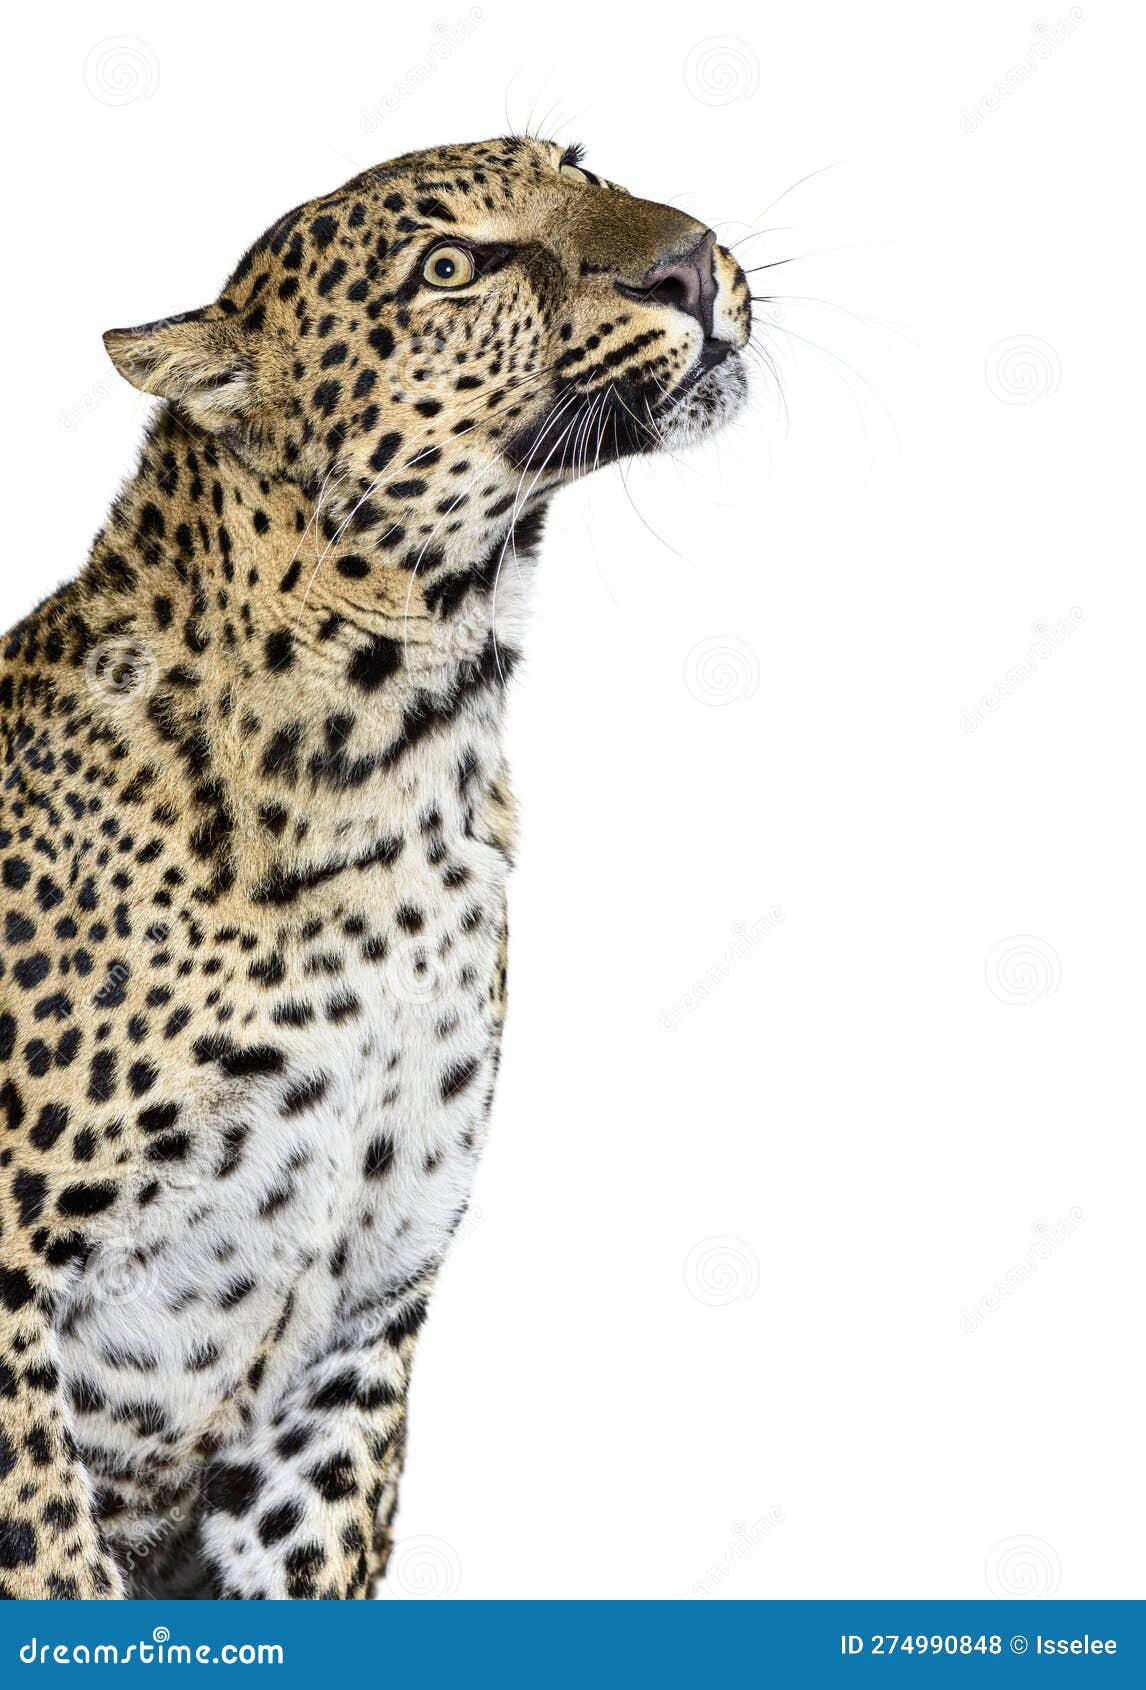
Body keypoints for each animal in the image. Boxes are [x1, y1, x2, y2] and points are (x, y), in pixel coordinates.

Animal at [0, 134, 751, 1599]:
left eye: (582, 165)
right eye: (450, 266)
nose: (692, 260)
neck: (410, 741)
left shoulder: (358, 1329)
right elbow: (45, 1550)